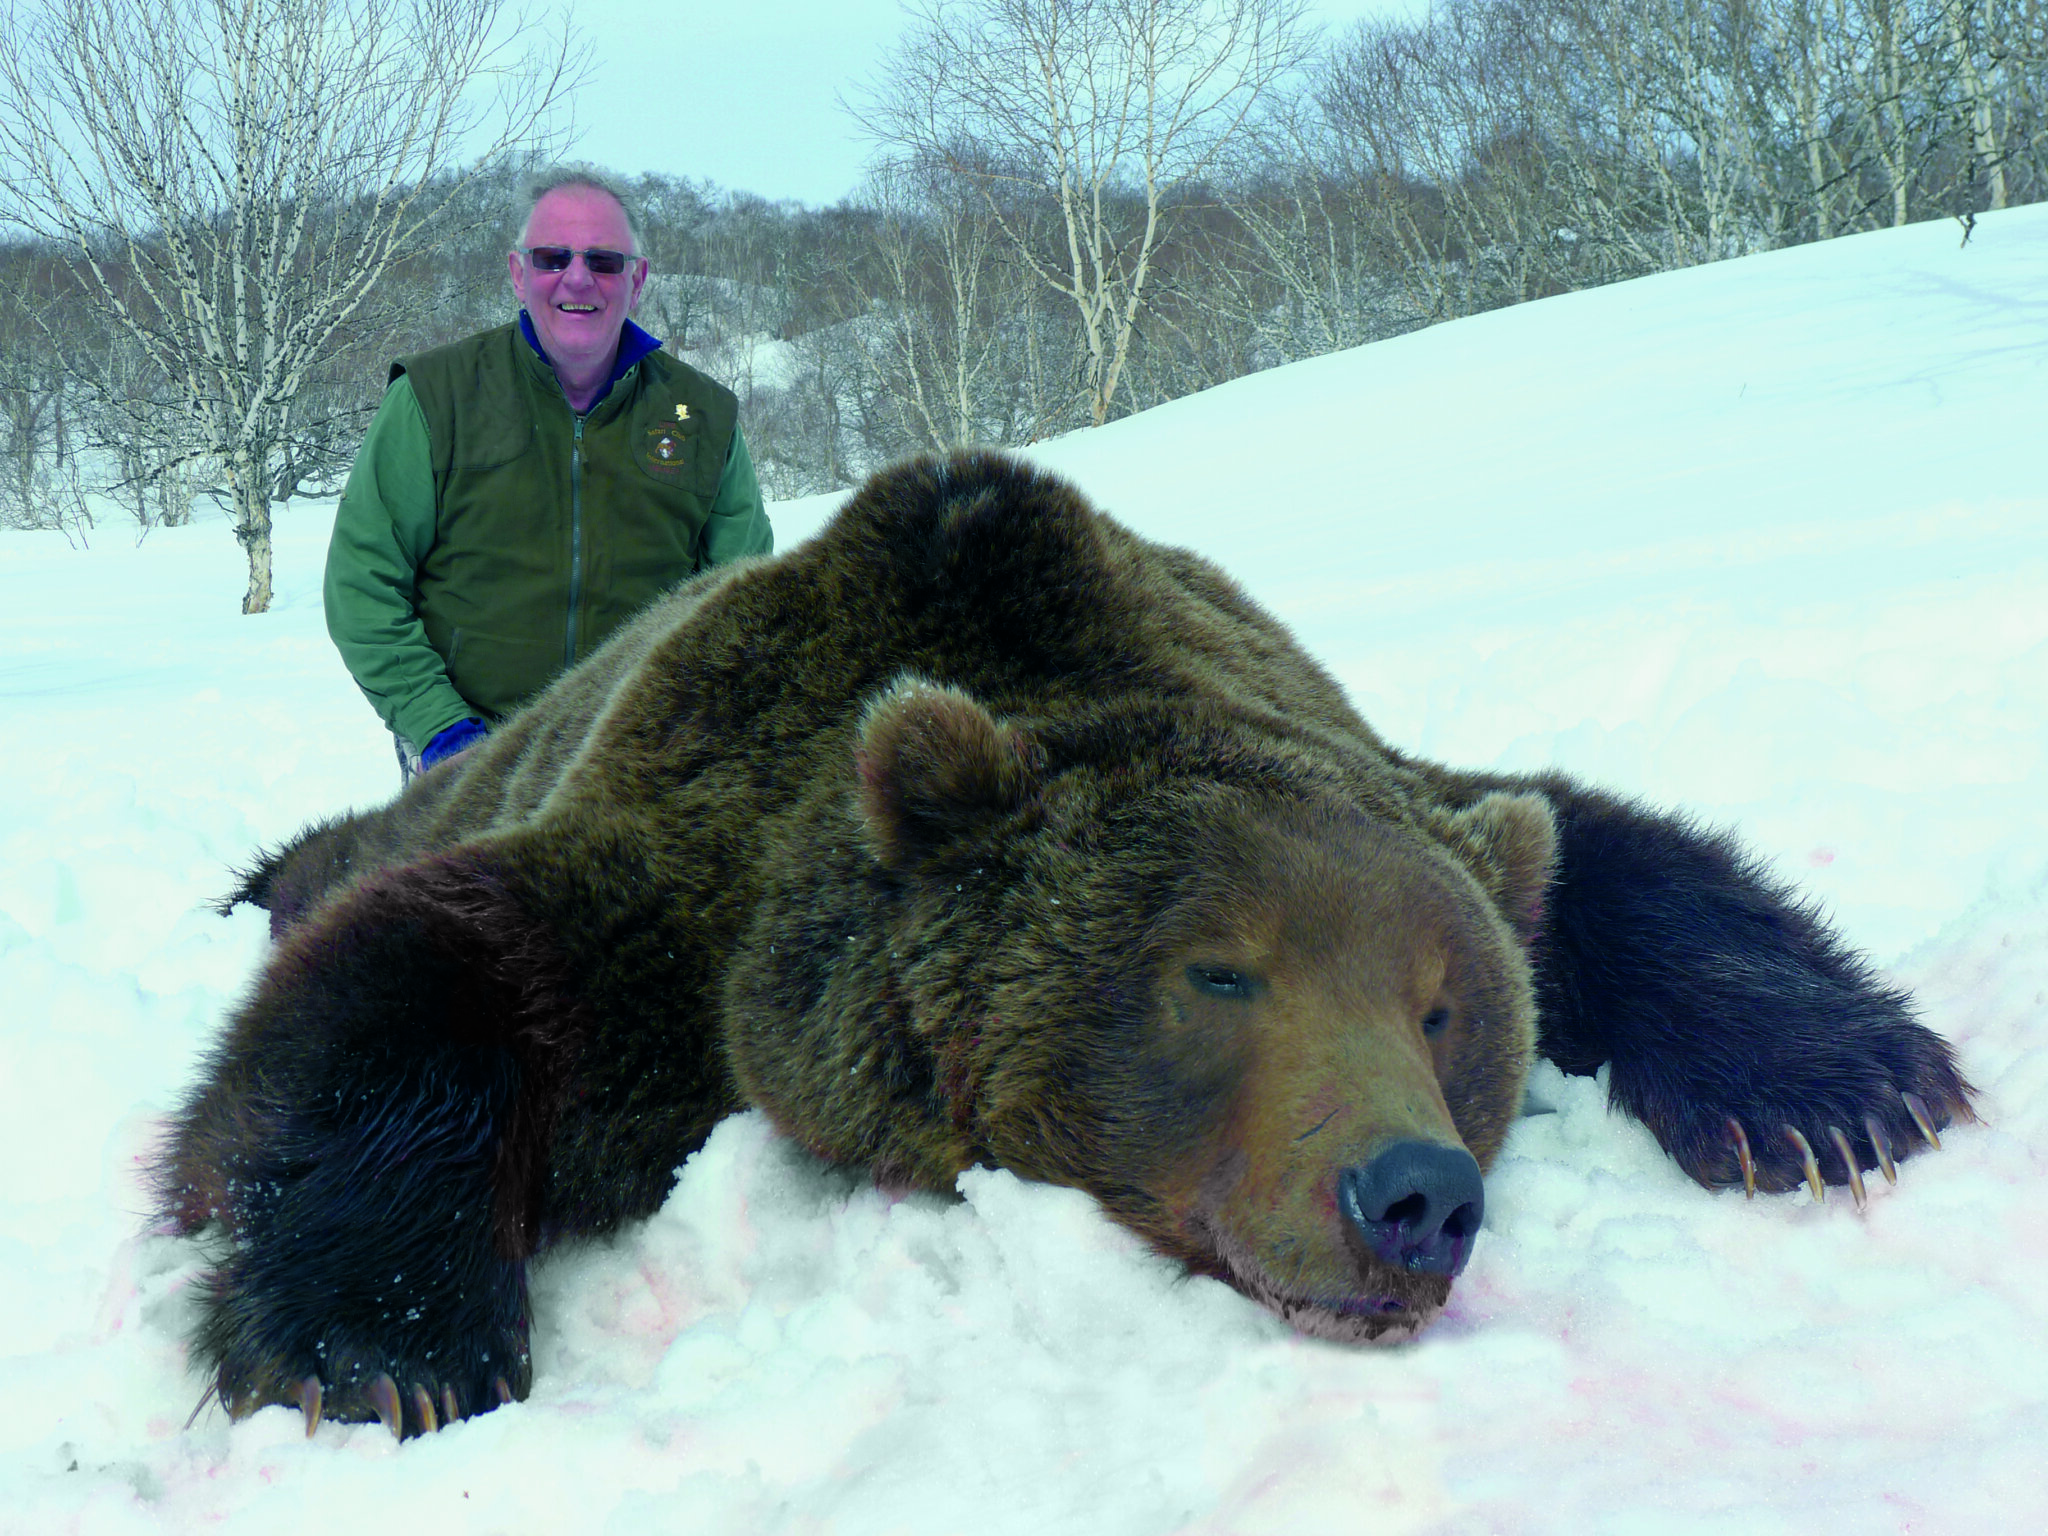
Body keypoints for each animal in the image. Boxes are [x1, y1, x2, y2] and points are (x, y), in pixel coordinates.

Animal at [158, 451, 1973, 1439]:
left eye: (1446, 1009)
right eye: (1220, 970)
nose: (1414, 1197)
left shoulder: (1364, 754)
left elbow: (1600, 851)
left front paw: (1839, 1091)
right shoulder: (678, 894)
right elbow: (408, 989)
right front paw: (383, 1345)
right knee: (339, 865)